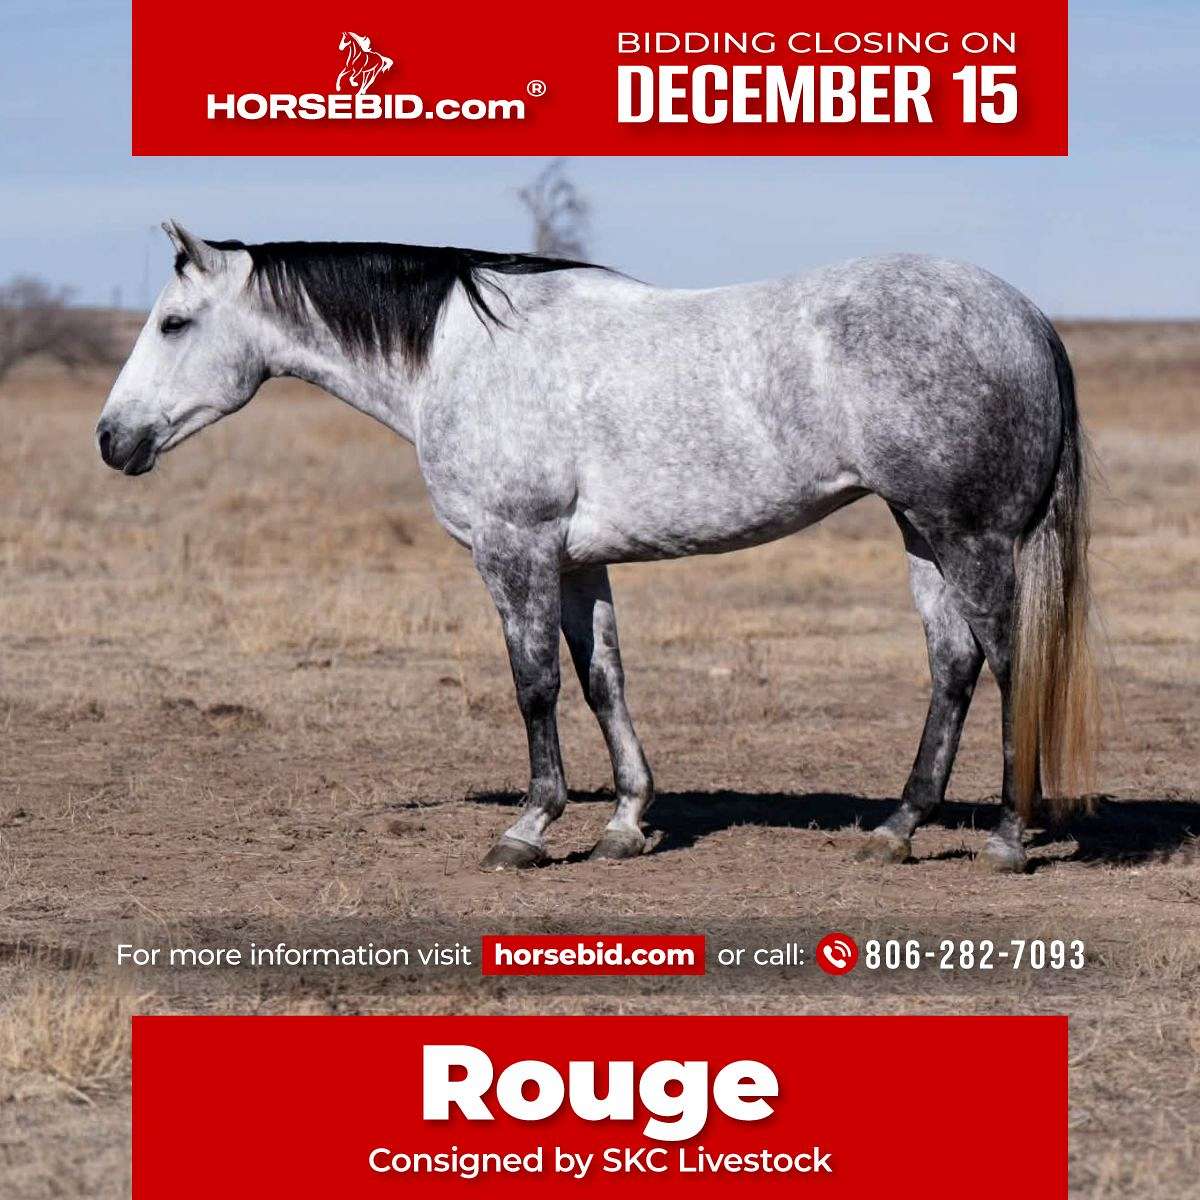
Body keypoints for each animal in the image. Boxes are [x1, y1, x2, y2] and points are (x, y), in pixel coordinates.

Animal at [96, 221, 1098, 874]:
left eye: (173, 323)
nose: (112, 439)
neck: (462, 355)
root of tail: (1027, 317)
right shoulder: (578, 562)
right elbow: (602, 679)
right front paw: (624, 821)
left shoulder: (515, 550)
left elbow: (534, 684)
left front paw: (528, 830)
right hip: (922, 532)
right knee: (952, 666)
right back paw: (897, 828)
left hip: (969, 537)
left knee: (1009, 662)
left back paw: (1006, 837)